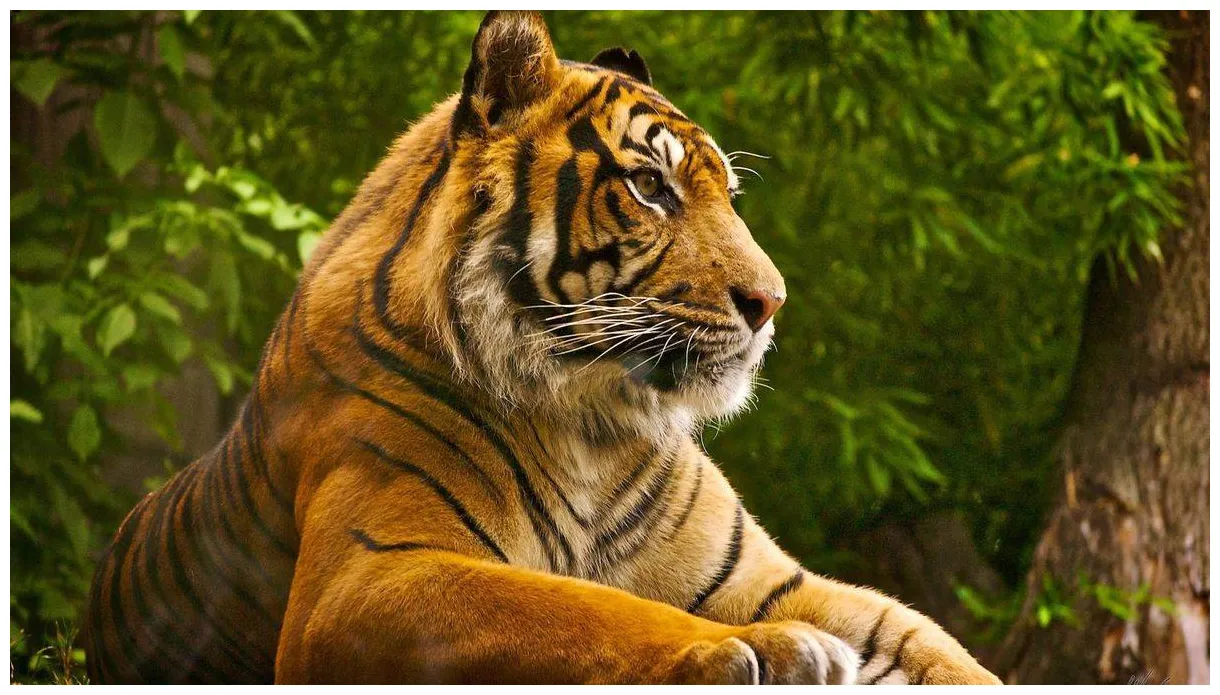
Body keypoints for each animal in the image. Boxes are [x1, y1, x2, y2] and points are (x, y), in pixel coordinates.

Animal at [82, 11, 1001, 685]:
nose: (771, 302)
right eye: (651, 185)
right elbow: (581, 607)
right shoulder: (364, 577)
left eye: (727, 195)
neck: (595, 420)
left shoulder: (771, 579)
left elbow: (927, 638)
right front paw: (755, 649)